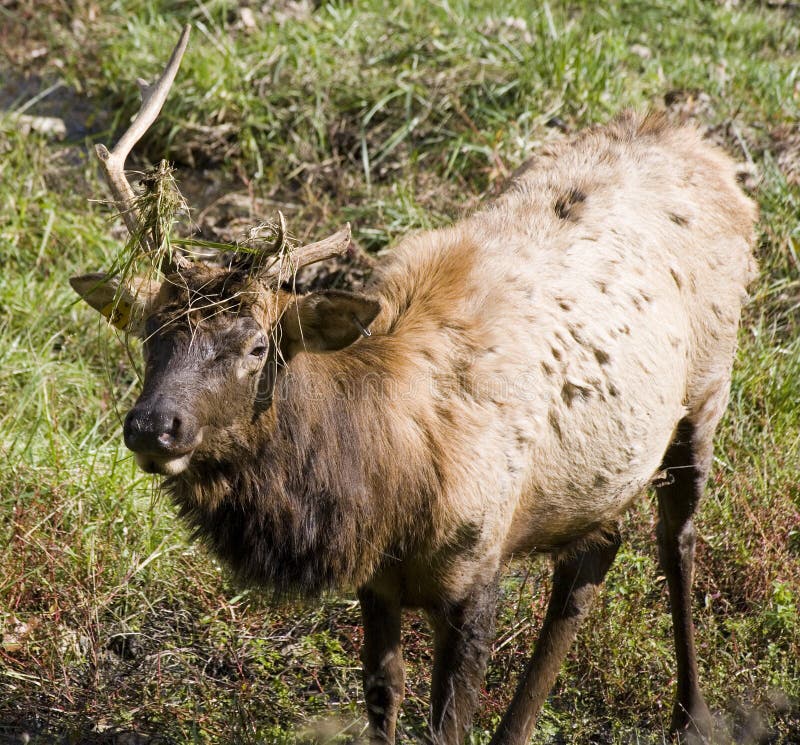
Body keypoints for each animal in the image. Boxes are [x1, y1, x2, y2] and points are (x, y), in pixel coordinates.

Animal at [70, 26, 758, 745]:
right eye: (150, 334)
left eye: (259, 346)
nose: (153, 425)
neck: (386, 487)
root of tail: (702, 146)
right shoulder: (378, 582)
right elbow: (384, 696)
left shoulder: (475, 568)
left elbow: (447, 722)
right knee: (596, 551)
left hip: (708, 387)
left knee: (675, 539)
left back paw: (692, 711)